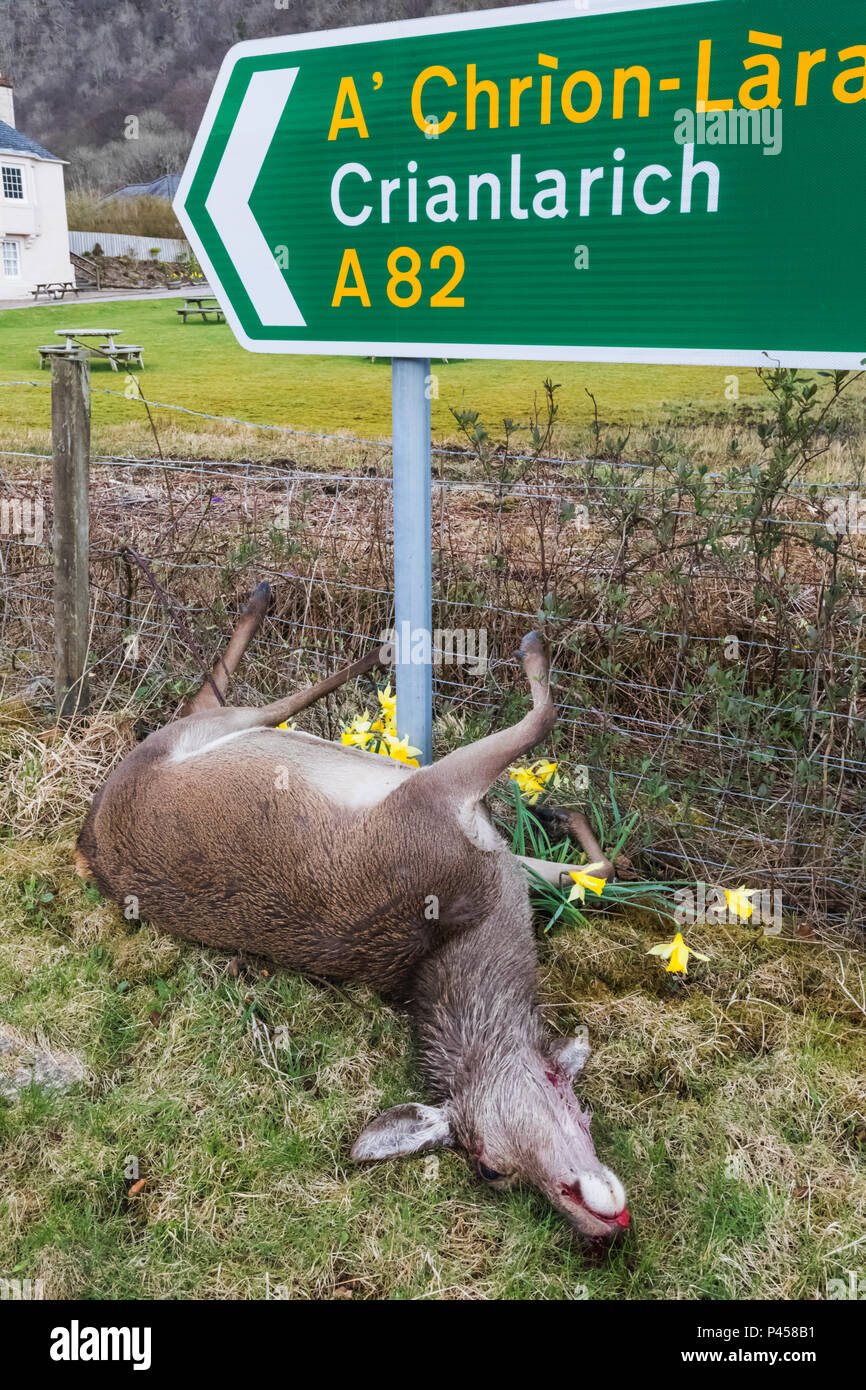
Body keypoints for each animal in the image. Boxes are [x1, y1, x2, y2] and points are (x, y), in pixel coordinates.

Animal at [75, 583, 629, 1243]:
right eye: (492, 1168)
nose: (598, 1225)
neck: (472, 932)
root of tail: (86, 837)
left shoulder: (488, 846)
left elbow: (602, 868)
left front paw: (559, 812)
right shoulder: (431, 796)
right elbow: (546, 720)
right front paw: (534, 651)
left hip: (200, 734)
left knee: (212, 695)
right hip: (191, 740)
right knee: (236, 700)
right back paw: (317, 624)